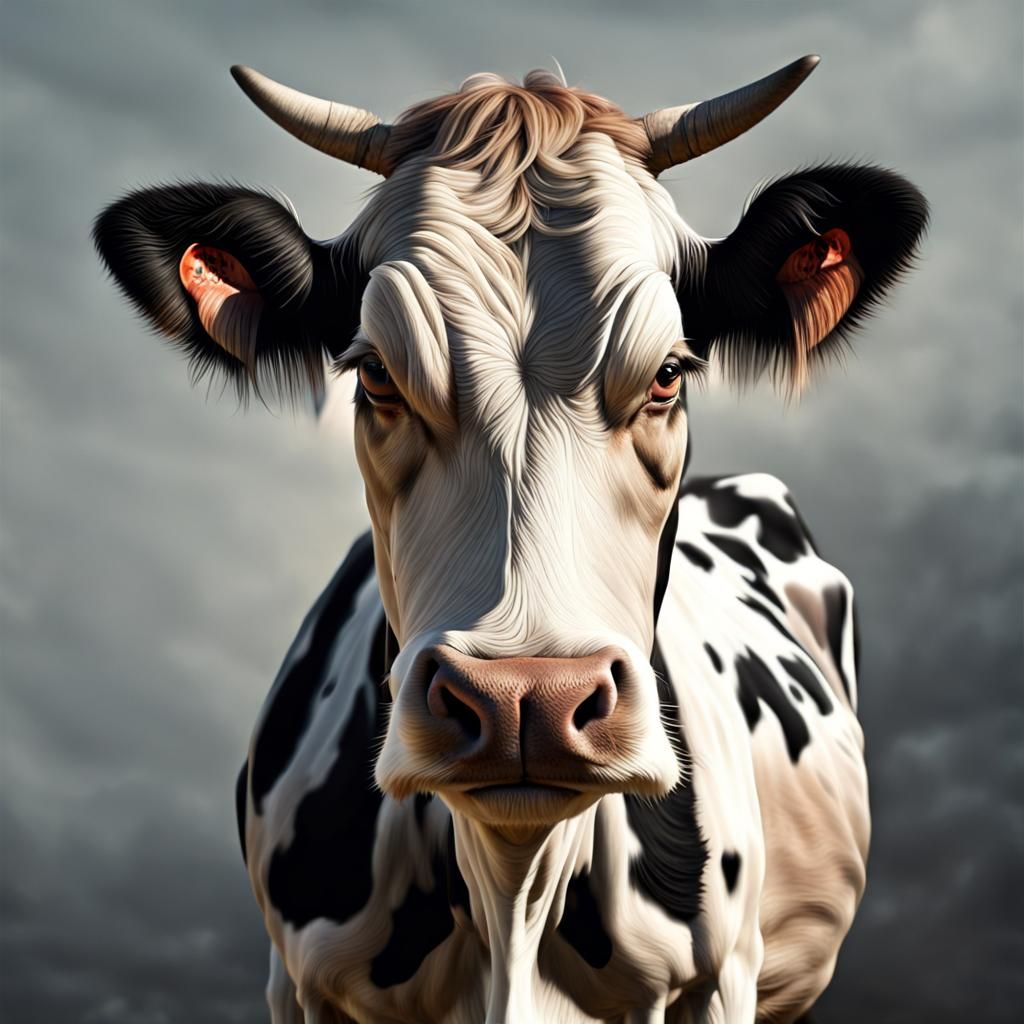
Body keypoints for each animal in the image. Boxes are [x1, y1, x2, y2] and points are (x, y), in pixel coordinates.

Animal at [93, 56, 927, 1023]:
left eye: (669, 373)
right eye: (374, 374)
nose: (522, 700)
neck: (512, 891)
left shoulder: (722, 978)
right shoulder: (296, 982)